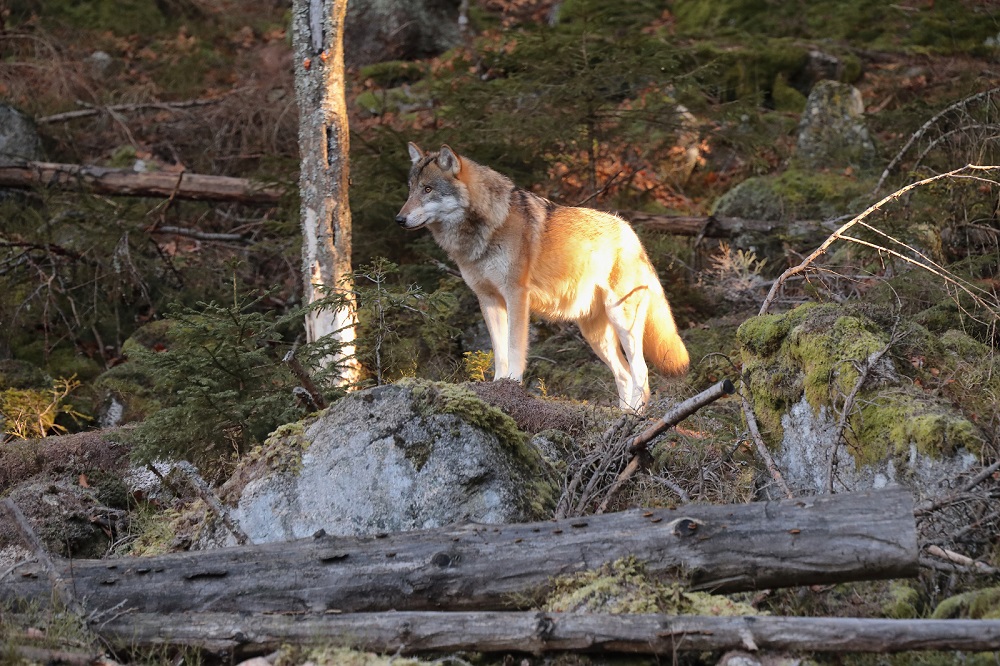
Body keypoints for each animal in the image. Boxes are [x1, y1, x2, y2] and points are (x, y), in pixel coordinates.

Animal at [396, 143, 689, 411]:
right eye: (411, 189)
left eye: (428, 189)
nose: (399, 219)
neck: (487, 227)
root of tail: (632, 234)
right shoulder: (488, 299)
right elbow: (499, 351)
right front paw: (497, 386)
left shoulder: (516, 295)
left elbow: (515, 347)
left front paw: (513, 385)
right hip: (596, 335)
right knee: (625, 374)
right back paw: (623, 415)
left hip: (622, 321)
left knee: (642, 372)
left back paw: (635, 417)